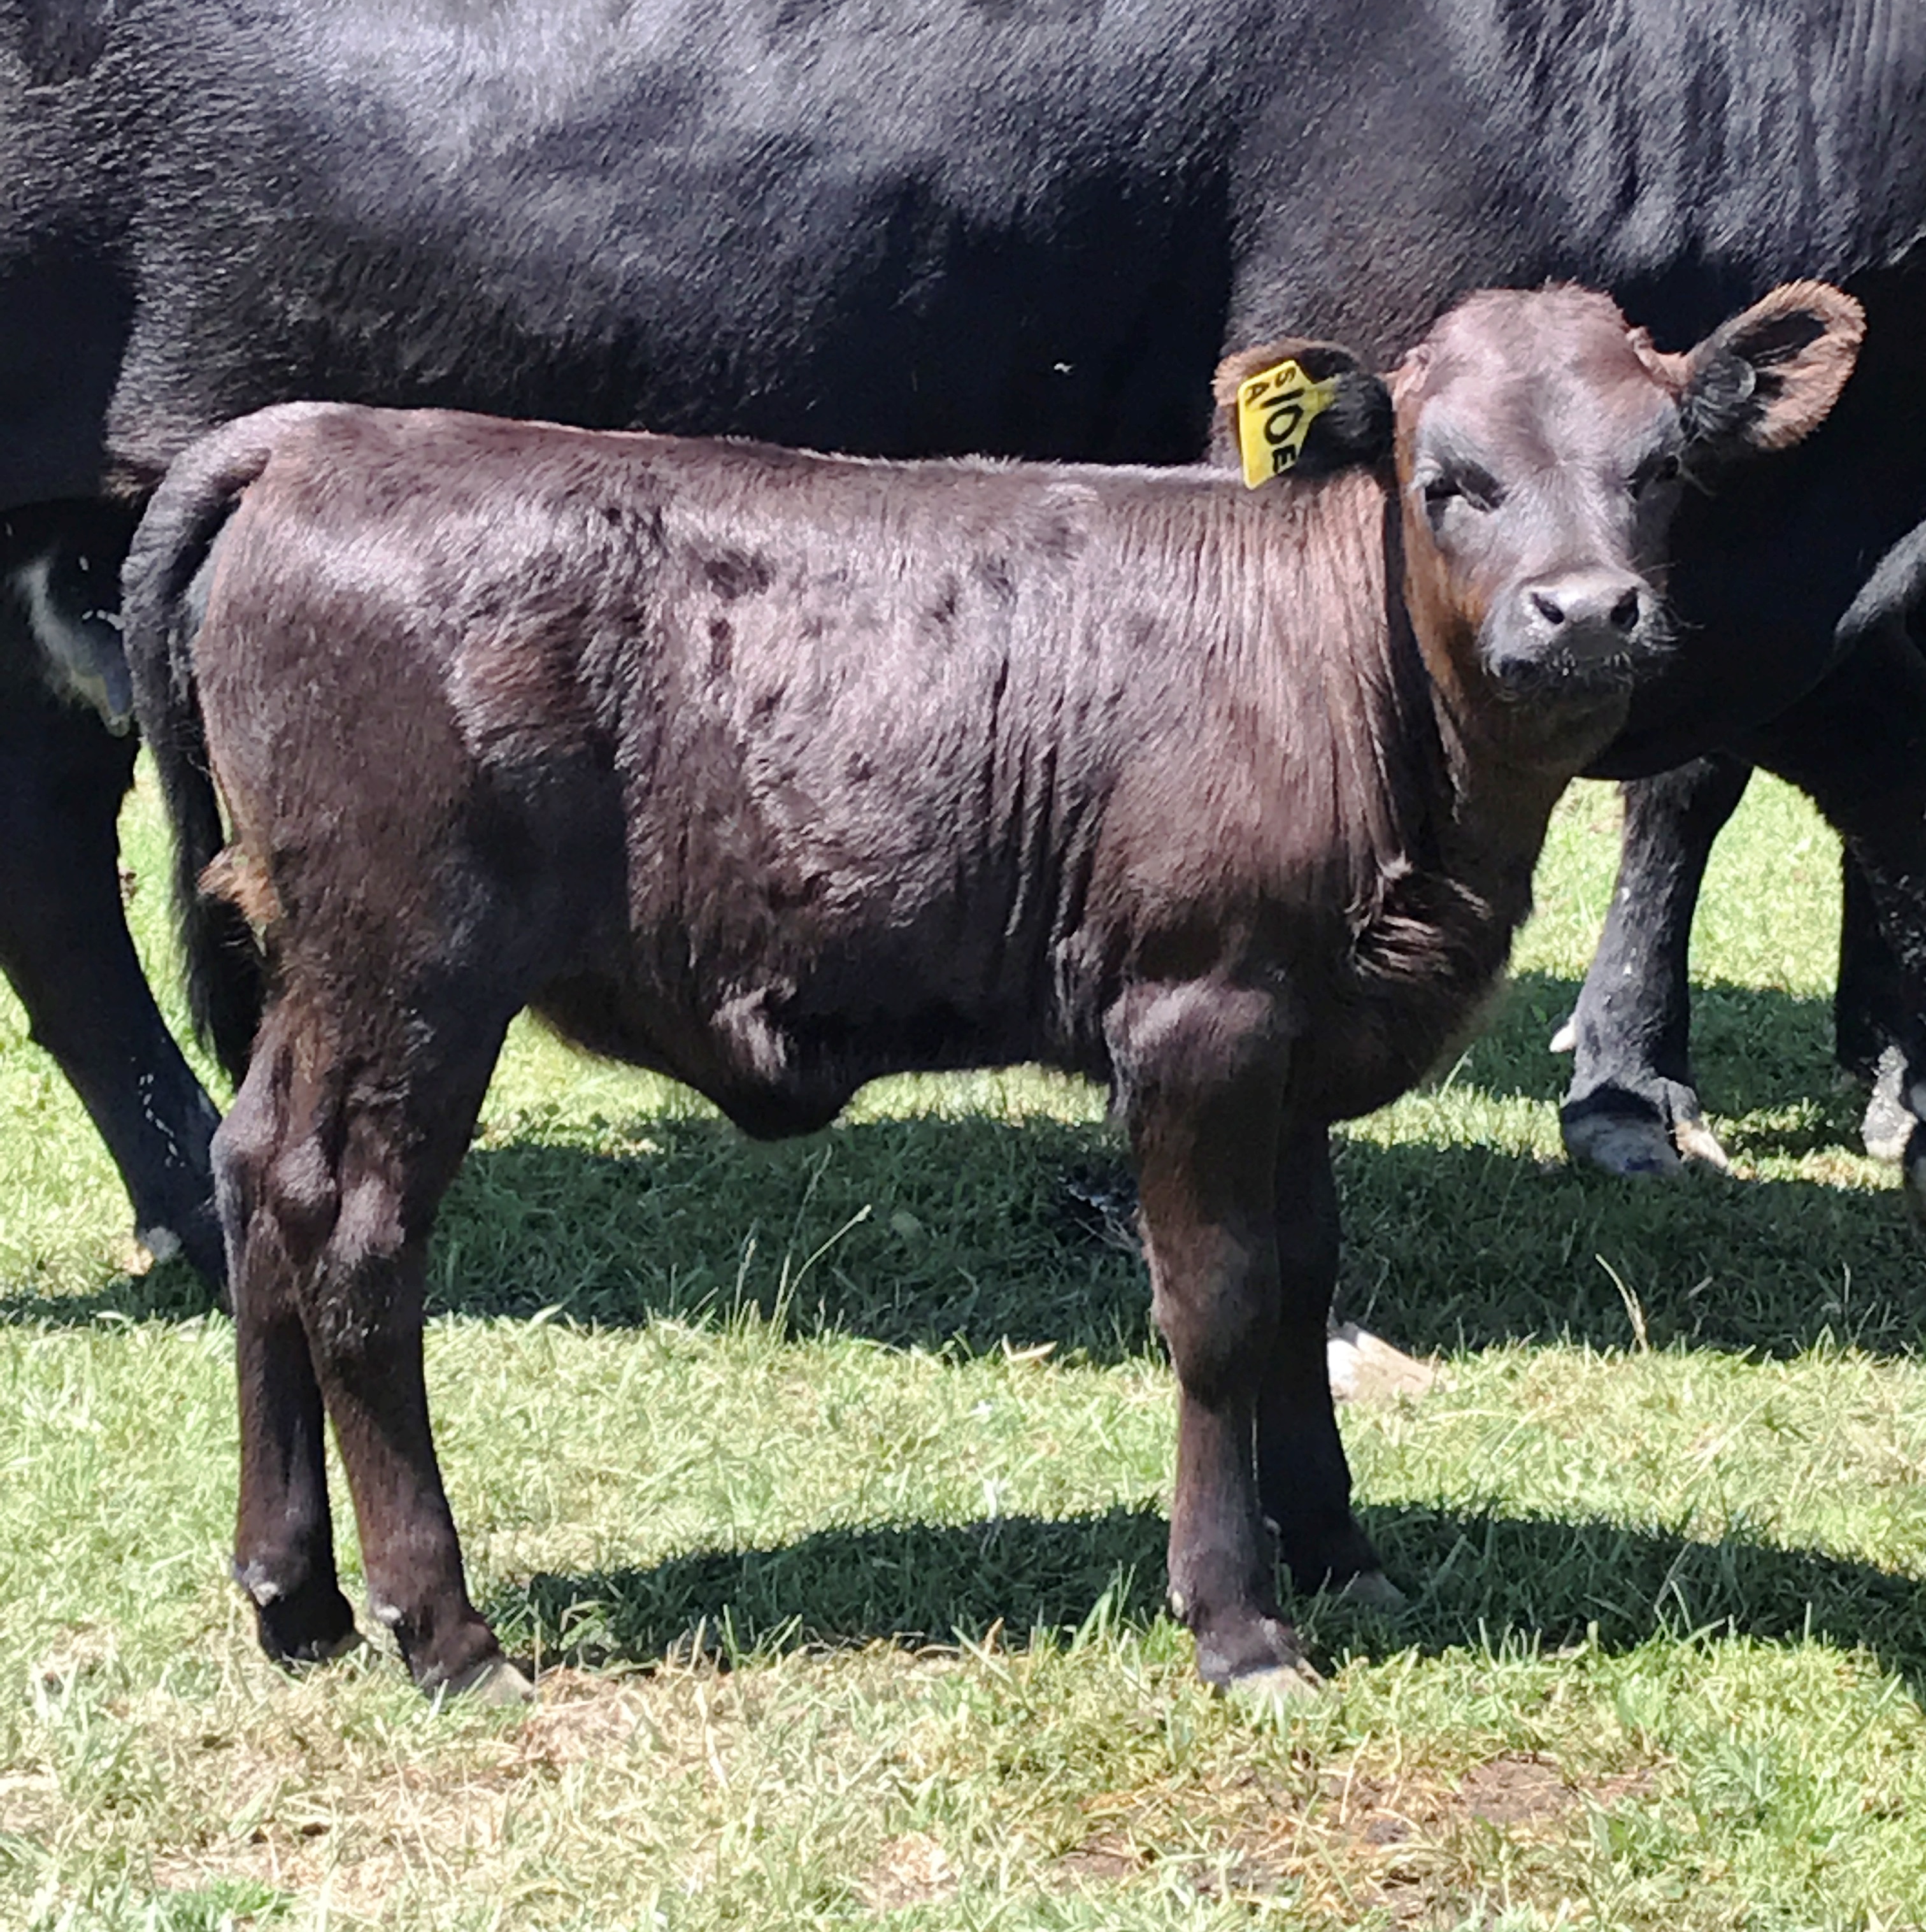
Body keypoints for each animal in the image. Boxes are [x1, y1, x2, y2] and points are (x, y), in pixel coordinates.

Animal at [124, 281, 1861, 1700]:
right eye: (1448, 479)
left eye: (1661, 470)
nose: (1586, 611)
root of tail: (309, 439)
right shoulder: (1199, 1006)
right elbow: (1219, 1302)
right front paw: (1239, 1620)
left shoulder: (1298, 1029)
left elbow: (1305, 1280)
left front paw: (1345, 1553)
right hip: (418, 967)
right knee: (356, 1235)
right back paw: (444, 1628)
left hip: (323, 972)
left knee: (258, 1173)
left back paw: (293, 1596)